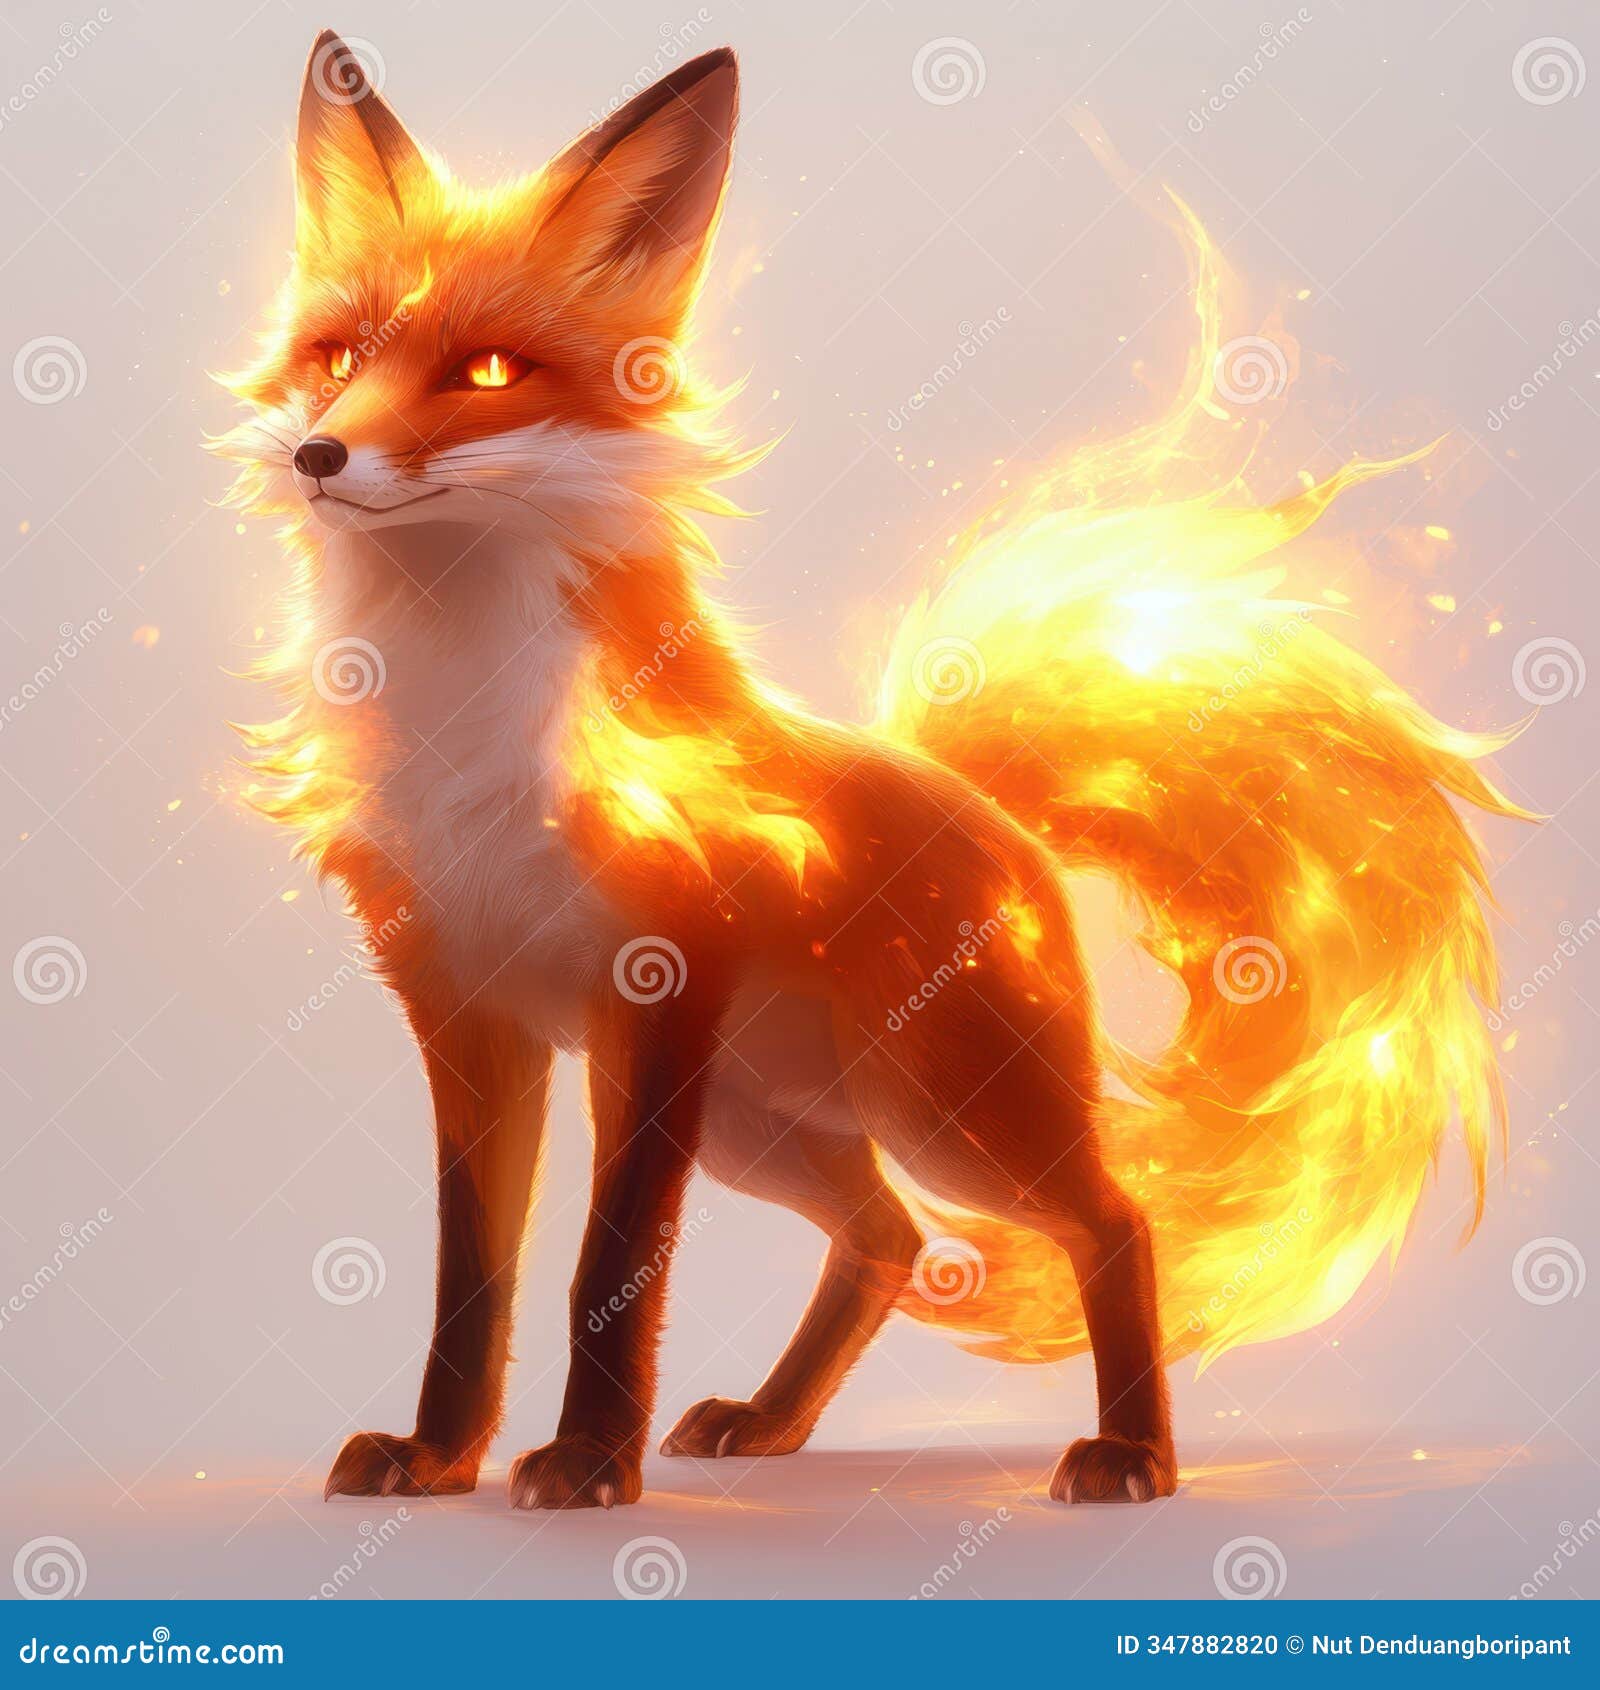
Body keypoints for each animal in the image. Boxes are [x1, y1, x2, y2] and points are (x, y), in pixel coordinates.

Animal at [217, 34, 1522, 1511]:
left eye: (489, 371)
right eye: (337, 357)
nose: (321, 454)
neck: (465, 739)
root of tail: (988, 810)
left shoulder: (655, 994)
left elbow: (611, 1265)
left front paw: (590, 1457)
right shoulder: (467, 1014)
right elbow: (470, 1280)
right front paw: (441, 1454)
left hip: (951, 1110)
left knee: (1112, 1218)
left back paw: (1134, 1451)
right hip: (772, 1127)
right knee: (888, 1235)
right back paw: (772, 1421)